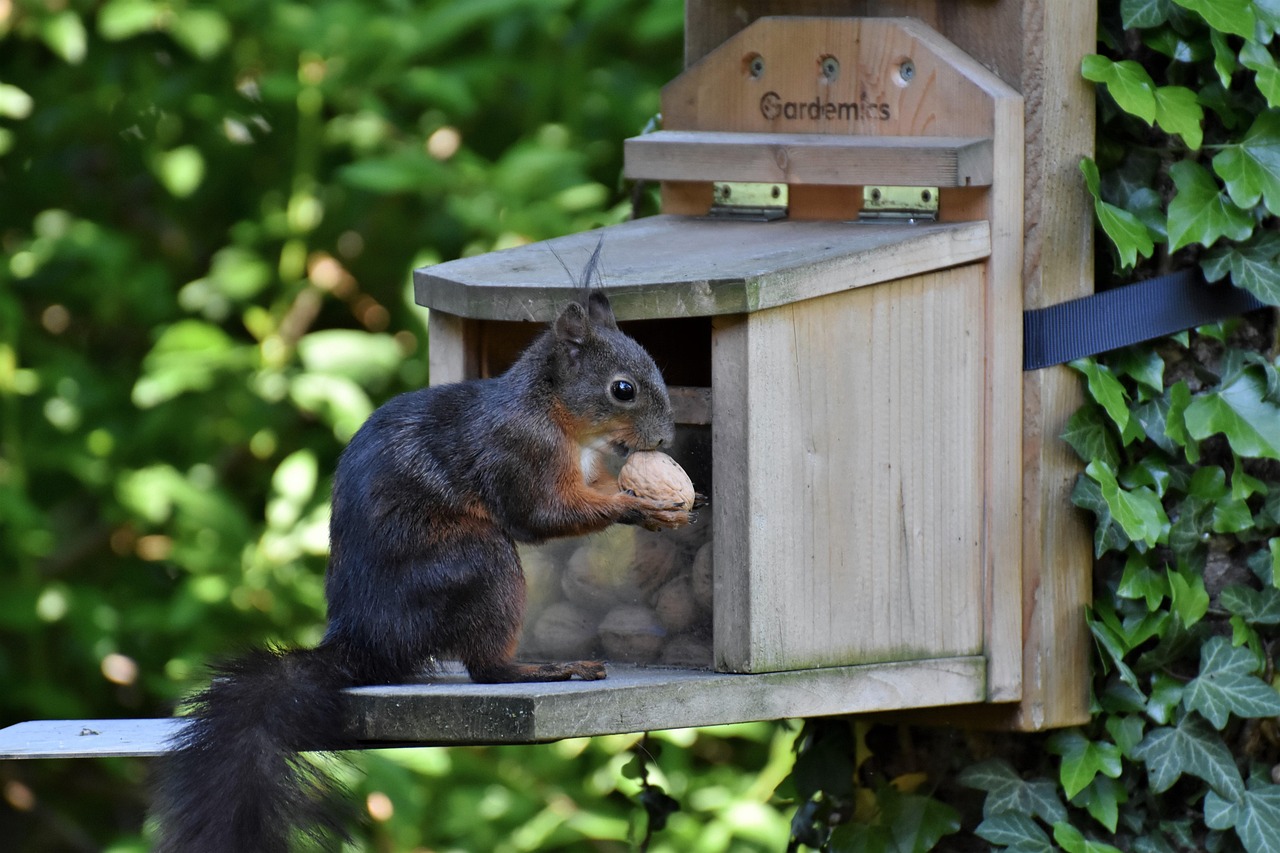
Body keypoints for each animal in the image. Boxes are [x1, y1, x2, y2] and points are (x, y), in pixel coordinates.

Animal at [149, 264, 697, 851]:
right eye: (623, 390)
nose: (665, 436)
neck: (551, 411)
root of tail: (365, 638)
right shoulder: (518, 453)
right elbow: (541, 514)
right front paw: (638, 505)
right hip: (480, 565)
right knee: (485, 669)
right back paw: (546, 669)